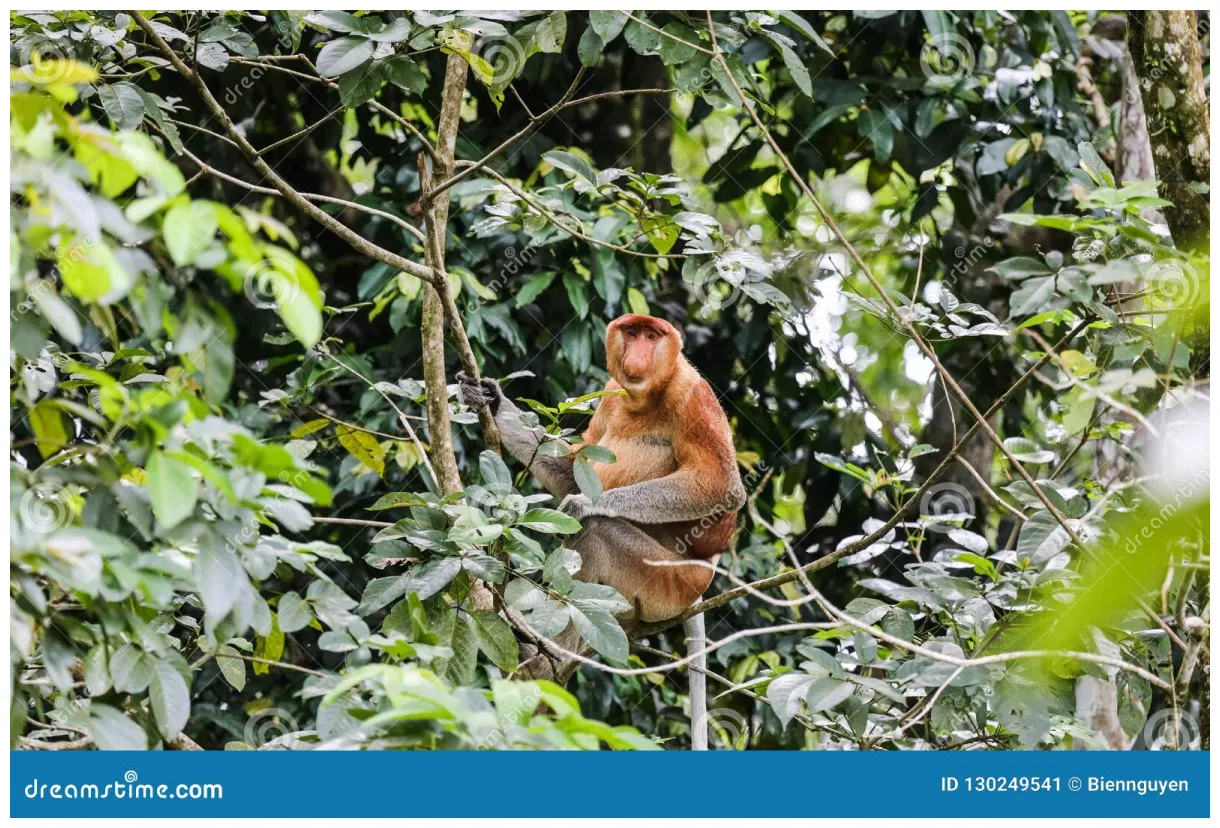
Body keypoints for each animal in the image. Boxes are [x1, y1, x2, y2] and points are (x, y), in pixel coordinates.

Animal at [460, 314, 745, 748]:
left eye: (652, 336)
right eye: (631, 333)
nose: (638, 355)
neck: (642, 400)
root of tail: (701, 584)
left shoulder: (691, 393)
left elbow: (723, 487)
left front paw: (588, 503)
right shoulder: (611, 392)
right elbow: (571, 472)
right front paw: (489, 397)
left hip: (669, 582)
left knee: (597, 535)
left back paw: (547, 663)